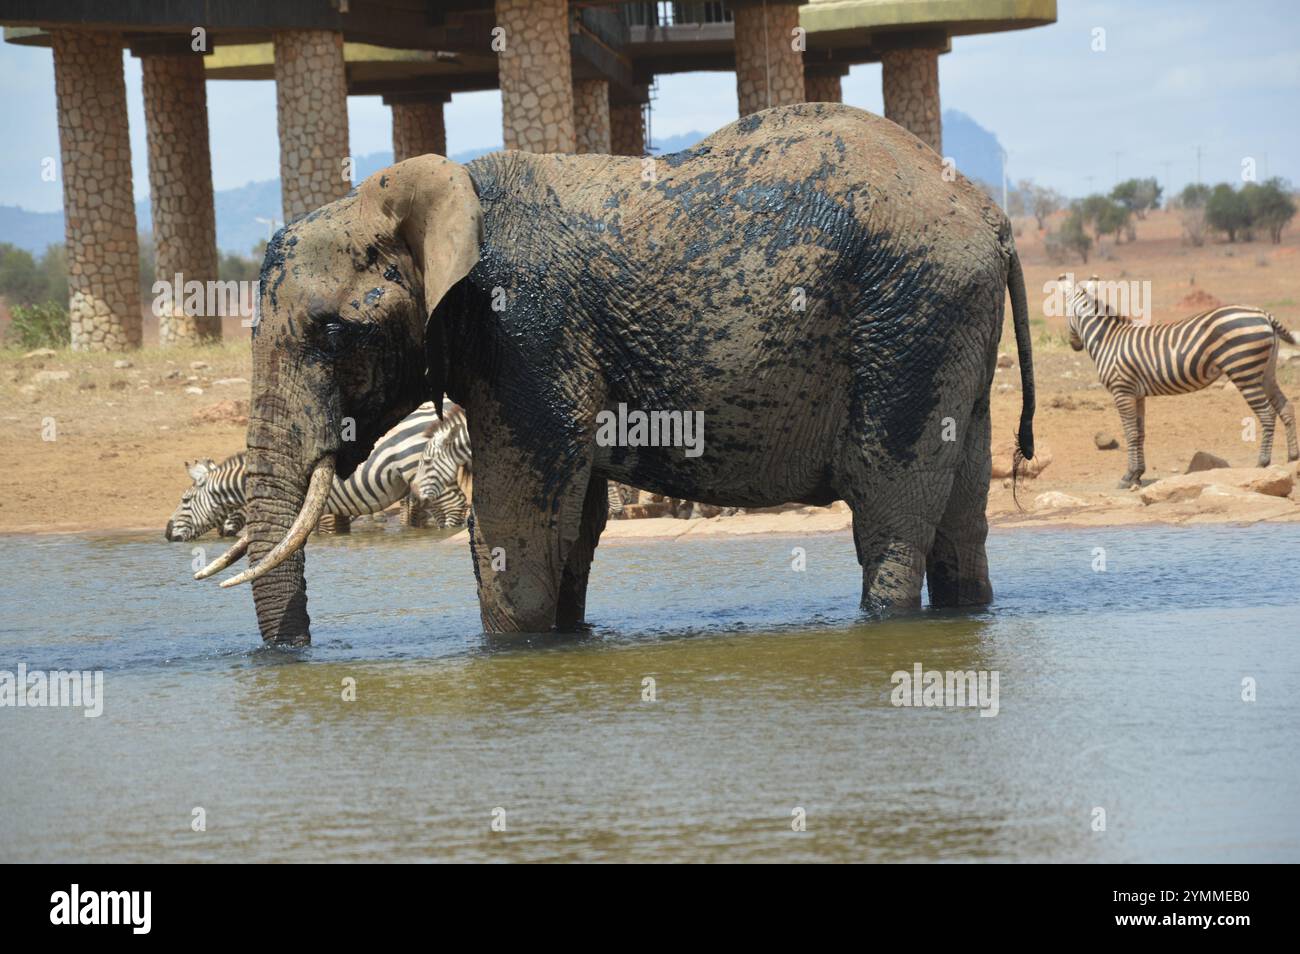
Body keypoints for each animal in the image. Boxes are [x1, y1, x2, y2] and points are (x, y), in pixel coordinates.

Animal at [198, 103, 1035, 645]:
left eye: (330, 330)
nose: (297, 653)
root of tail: (990, 216)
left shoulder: (527, 329)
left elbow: (517, 524)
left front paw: (511, 655)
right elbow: (575, 523)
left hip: (910, 320)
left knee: (889, 510)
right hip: (949, 330)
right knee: (962, 516)